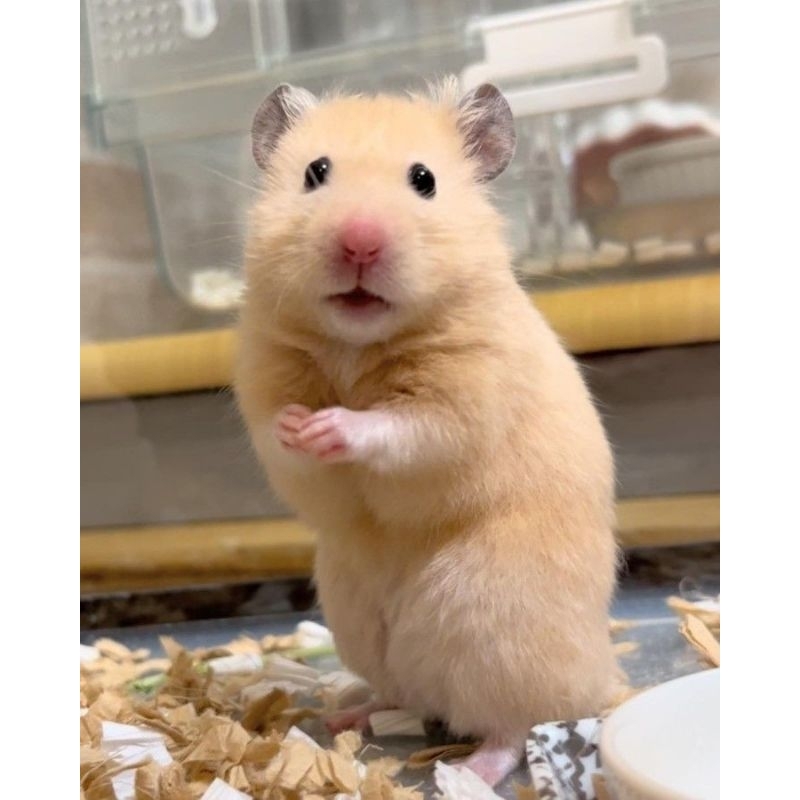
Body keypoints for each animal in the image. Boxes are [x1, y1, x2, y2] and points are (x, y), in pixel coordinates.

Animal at [234, 78, 621, 787]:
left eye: (424, 180)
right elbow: (276, 436)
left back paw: (475, 772)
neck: (356, 345)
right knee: (406, 696)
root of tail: (603, 676)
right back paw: (348, 714)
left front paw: (332, 426)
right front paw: (299, 425)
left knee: (512, 725)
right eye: (315, 173)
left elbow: (402, 428)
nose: (359, 242)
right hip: (359, 622)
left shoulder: (462, 403)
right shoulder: (261, 380)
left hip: (496, 633)